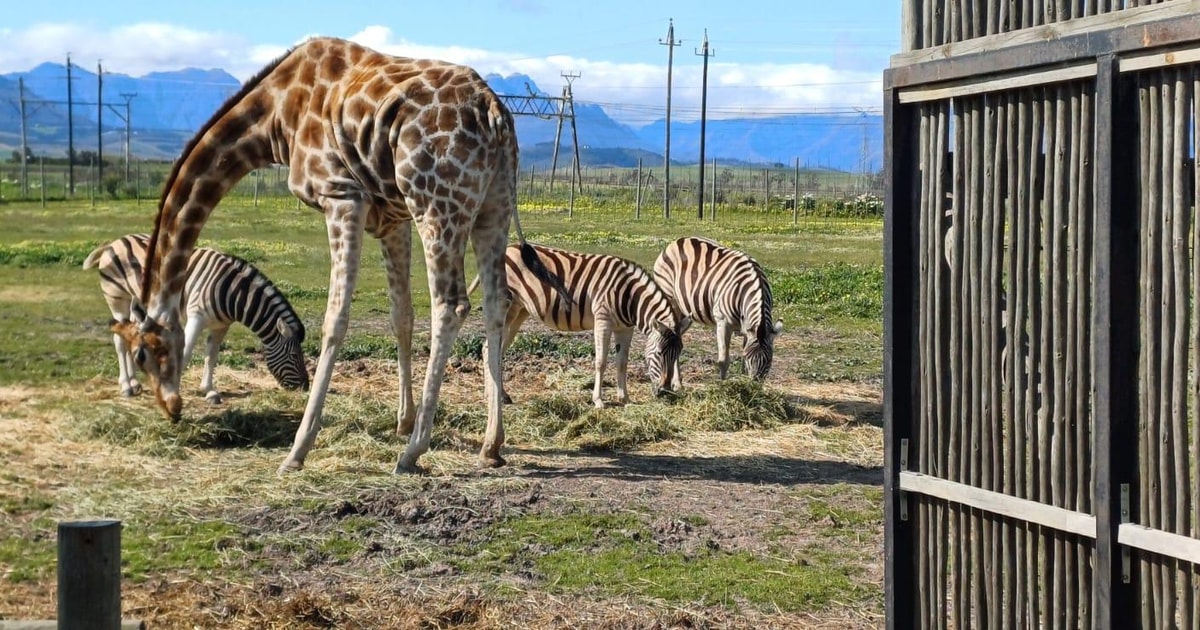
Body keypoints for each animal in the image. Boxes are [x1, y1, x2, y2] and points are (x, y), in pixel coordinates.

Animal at [113, 36, 569, 474]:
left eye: (143, 354)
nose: (170, 407)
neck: (275, 117)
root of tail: (495, 111)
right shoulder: (391, 218)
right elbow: (401, 316)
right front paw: (400, 420)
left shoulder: (341, 195)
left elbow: (334, 320)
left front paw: (298, 450)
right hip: (492, 206)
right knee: (494, 306)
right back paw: (491, 446)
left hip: (436, 203)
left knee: (451, 305)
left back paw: (412, 453)